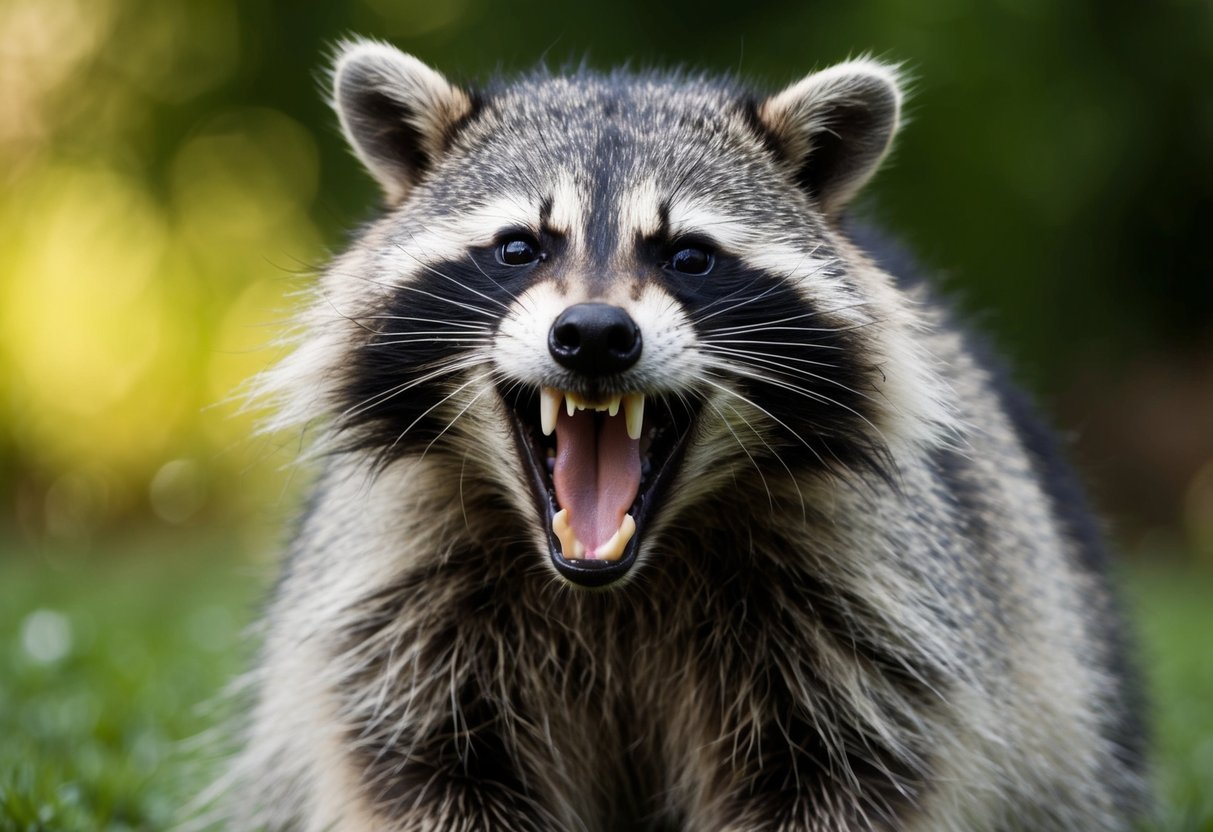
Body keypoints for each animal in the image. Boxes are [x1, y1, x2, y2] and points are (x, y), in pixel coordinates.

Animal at [225, 39, 1148, 831]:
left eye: (688, 256)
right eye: (519, 248)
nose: (594, 335)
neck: (615, 586)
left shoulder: (869, 619)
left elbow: (836, 776)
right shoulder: (398, 606)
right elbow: (430, 767)